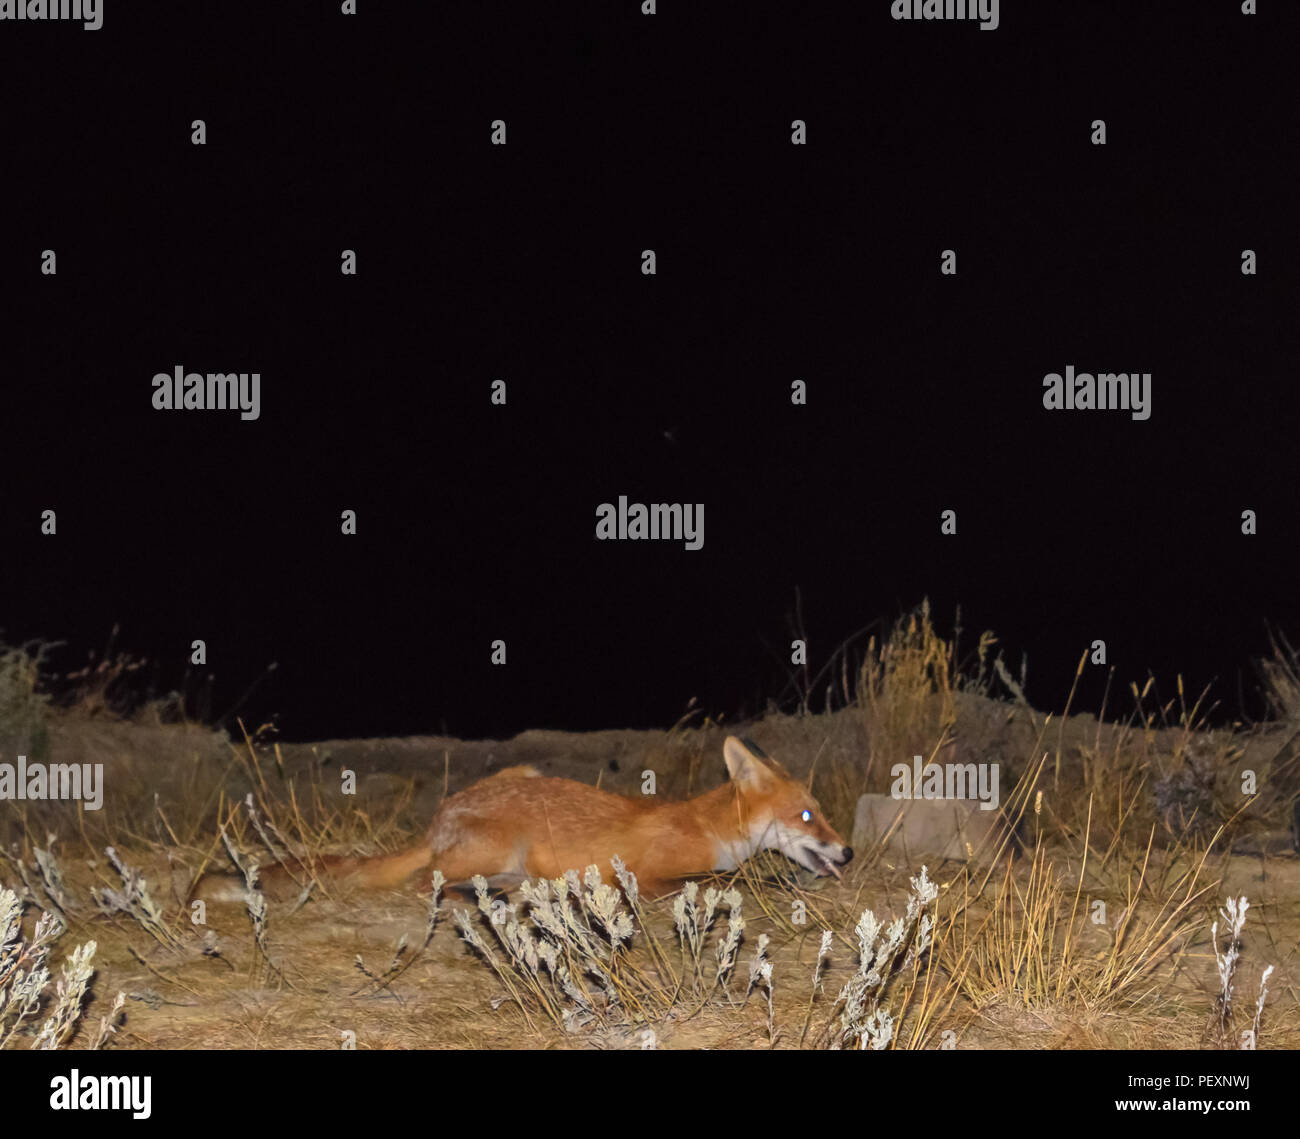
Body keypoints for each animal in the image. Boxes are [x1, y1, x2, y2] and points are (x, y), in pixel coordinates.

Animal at [197, 736, 852, 902]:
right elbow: (724, 879)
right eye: (808, 815)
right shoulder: (647, 876)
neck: (706, 828)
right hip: (495, 842)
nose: (846, 852)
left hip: (526, 776)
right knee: (426, 883)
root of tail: (438, 818)